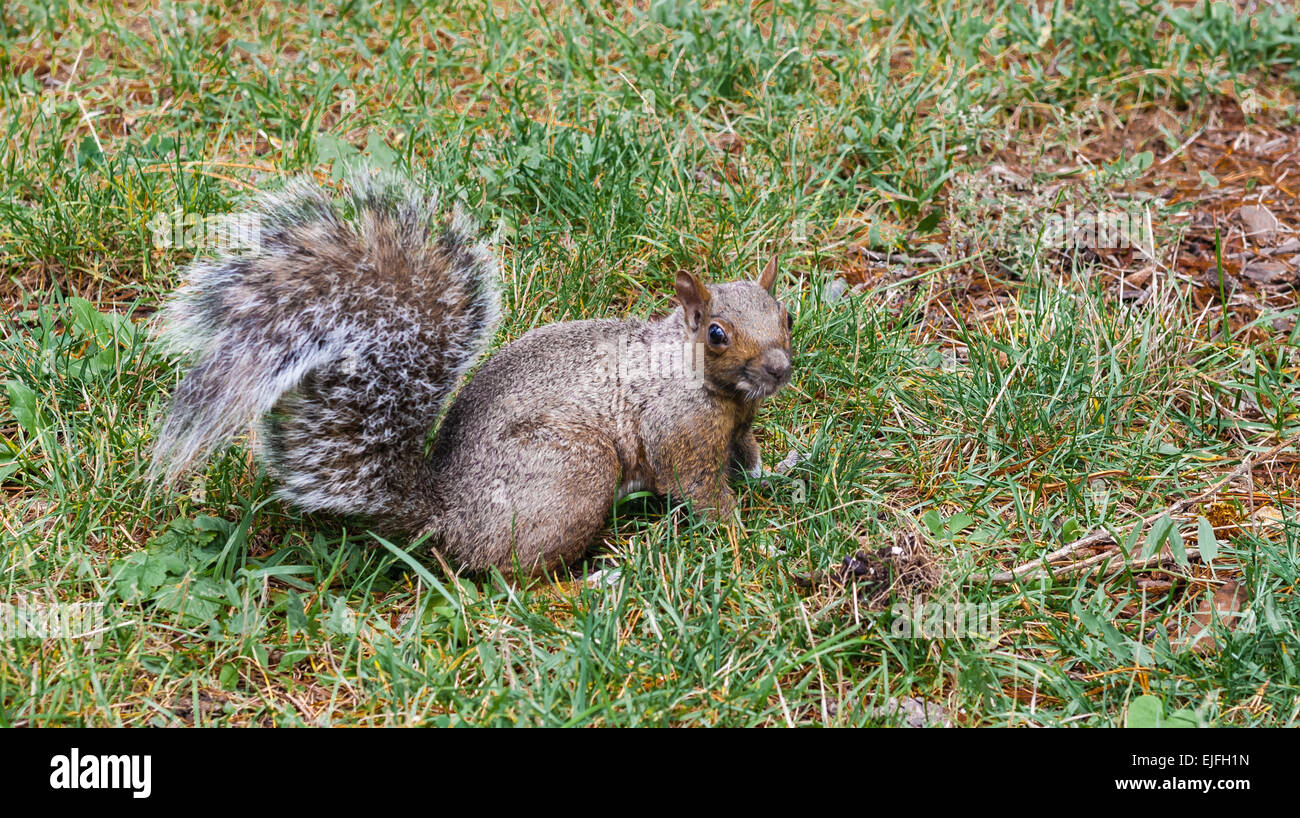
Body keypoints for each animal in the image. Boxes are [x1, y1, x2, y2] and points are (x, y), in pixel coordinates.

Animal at [152, 173, 794, 578]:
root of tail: (449, 516)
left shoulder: (738, 425)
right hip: (574, 472)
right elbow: (700, 491)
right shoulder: (679, 433)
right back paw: (586, 581)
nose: (781, 368)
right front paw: (750, 541)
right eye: (717, 334)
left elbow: (749, 456)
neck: (707, 385)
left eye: (786, 313)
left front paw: (781, 472)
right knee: (511, 576)